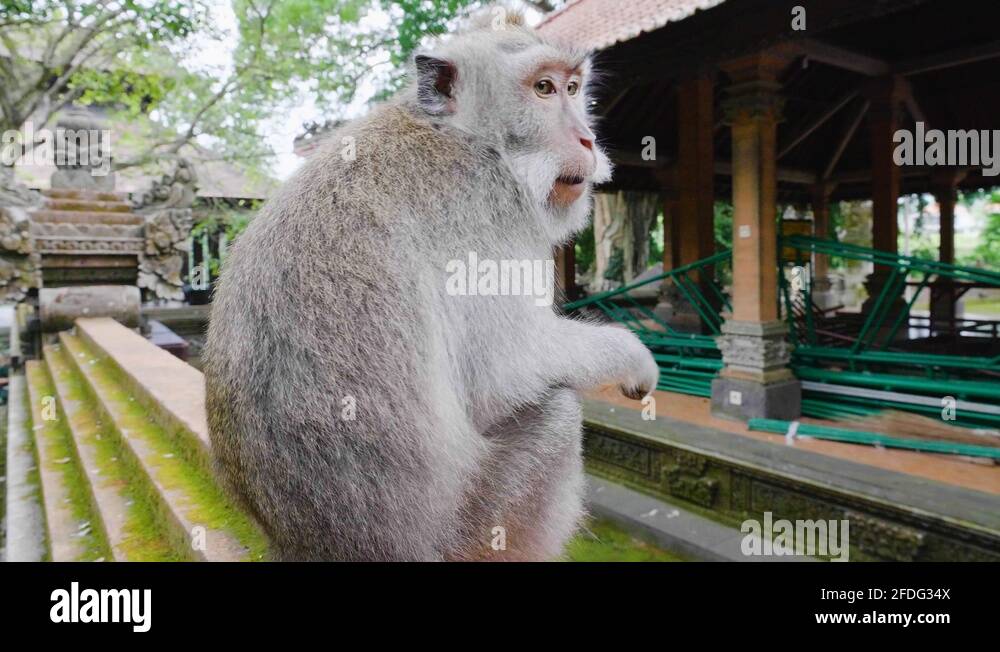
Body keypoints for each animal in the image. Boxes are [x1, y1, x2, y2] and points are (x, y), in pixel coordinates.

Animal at [203, 8, 660, 561]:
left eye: (574, 88)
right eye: (543, 89)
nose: (587, 139)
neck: (465, 137)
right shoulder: (485, 210)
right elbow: (506, 369)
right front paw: (634, 356)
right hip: (474, 530)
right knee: (558, 414)